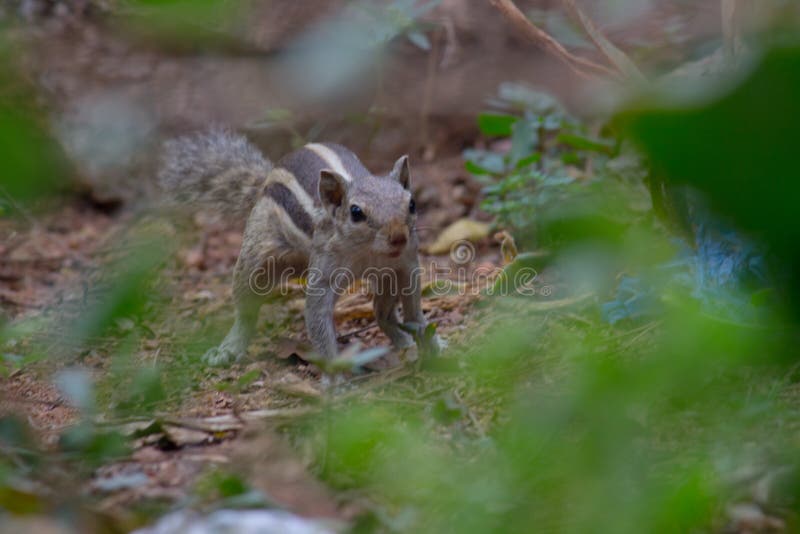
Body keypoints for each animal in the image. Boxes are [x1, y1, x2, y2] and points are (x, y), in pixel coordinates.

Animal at [159, 128, 442, 365]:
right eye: (356, 212)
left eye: (412, 204)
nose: (398, 237)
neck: (367, 253)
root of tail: (264, 181)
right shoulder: (324, 272)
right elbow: (317, 315)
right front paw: (336, 376)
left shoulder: (405, 264)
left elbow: (414, 308)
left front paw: (430, 339)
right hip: (257, 256)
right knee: (246, 309)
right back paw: (229, 347)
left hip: (384, 277)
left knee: (382, 314)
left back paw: (403, 339)